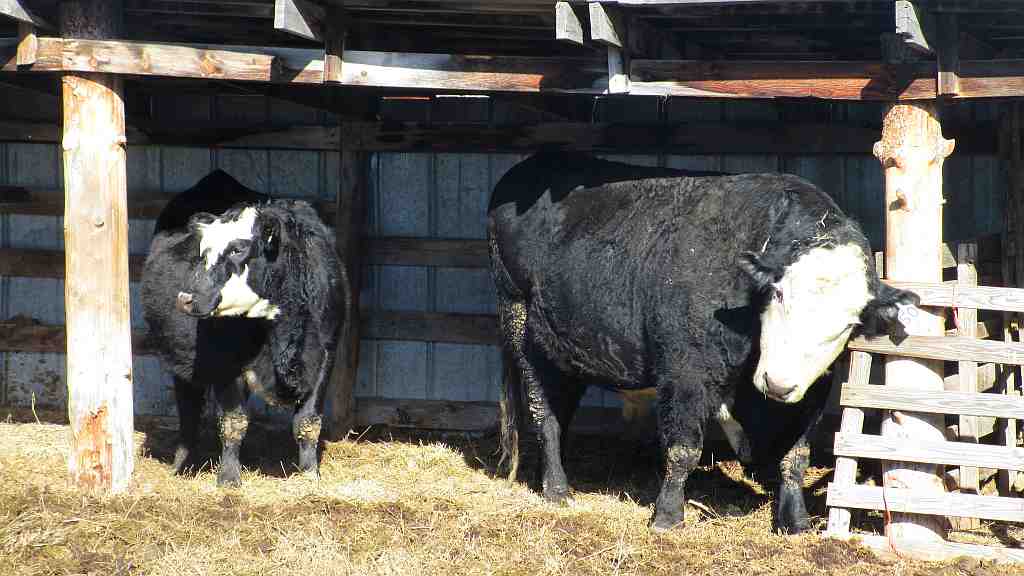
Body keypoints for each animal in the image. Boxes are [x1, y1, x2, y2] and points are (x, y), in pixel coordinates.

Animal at [141, 170, 348, 486]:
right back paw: (182, 465)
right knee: (189, 410)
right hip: (182, 361)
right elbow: (233, 422)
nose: (185, 298)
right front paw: (228, 479)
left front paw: (310, 474)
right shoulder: (225, 362)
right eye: (201, 252)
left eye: (238, 248)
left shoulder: (325, 354)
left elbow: (308, 422)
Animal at [488, 151, 918, 533]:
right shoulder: (685, 372)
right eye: (779, 294)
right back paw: (558, 490)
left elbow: (796, 455)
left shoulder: (813, 389)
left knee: (561, 408)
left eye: (849, 323)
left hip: (569, 346)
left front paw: (795, 522)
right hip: (519, 323)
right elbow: (683, 450)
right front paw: (666, 517)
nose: (777, 384)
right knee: (543, 412)